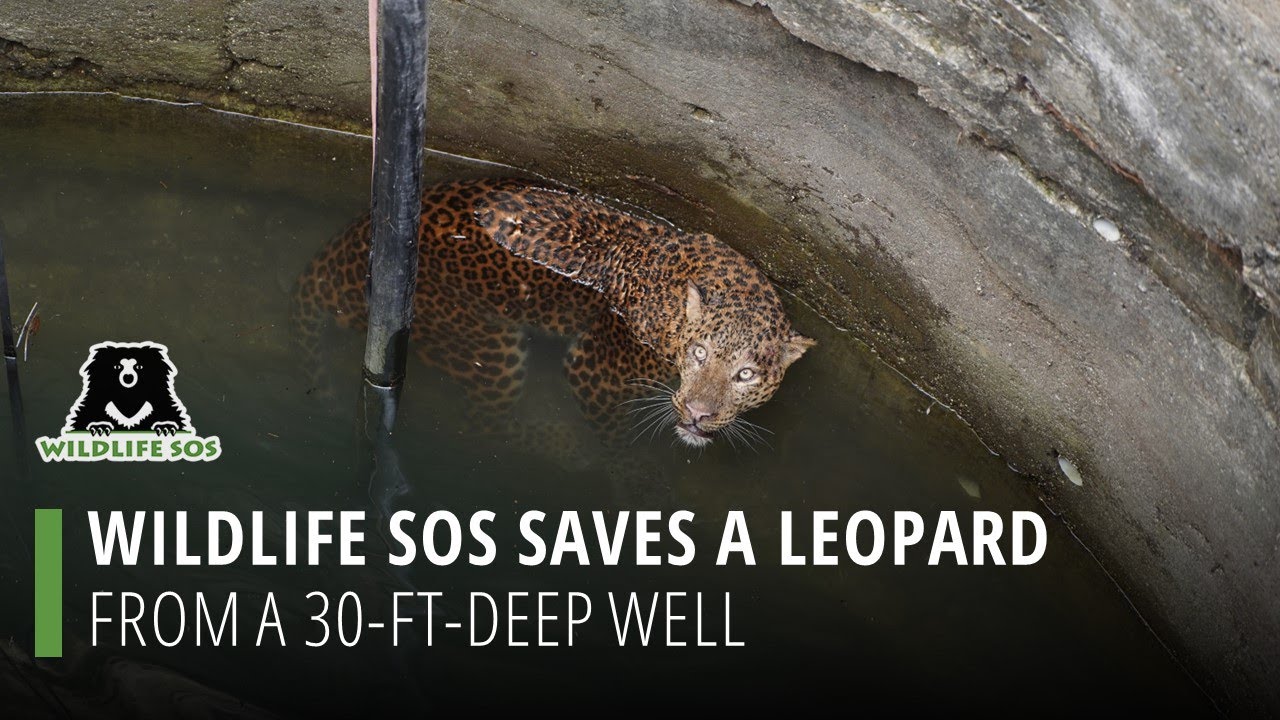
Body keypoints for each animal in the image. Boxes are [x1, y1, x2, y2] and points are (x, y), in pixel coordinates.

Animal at [291, 177, 813, 454]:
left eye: (746, 374)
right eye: (699, 353)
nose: (700, 414)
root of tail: (346, 246)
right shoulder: (592, 370)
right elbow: (619, 447)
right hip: (482, 344)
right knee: (481, 426)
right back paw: (562, 444)